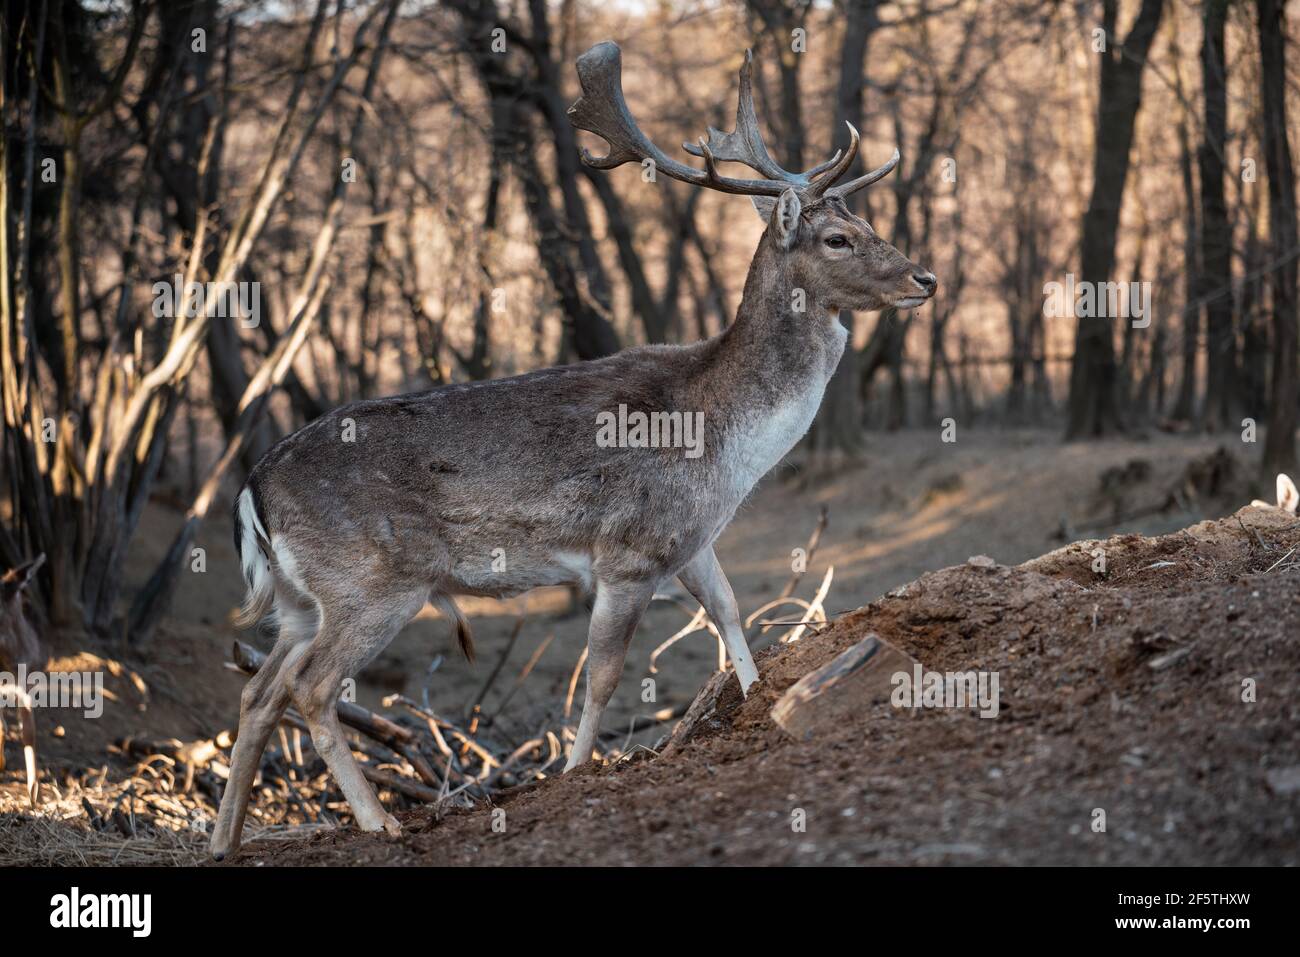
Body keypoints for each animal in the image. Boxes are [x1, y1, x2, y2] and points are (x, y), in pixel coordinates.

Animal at [209, 41, 936, 861]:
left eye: (866, 218)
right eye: (838, 238)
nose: (926, 277)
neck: (725, 440)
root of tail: (251, 488)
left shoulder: (690, 540)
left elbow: (731, 615)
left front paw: (758, 700)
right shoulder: (628, 552)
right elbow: (603, 675)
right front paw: (576, 769)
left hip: (300, 598)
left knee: (258, 687)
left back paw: (224, 838)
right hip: (372, 582)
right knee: (311, 687)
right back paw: (378, 820)